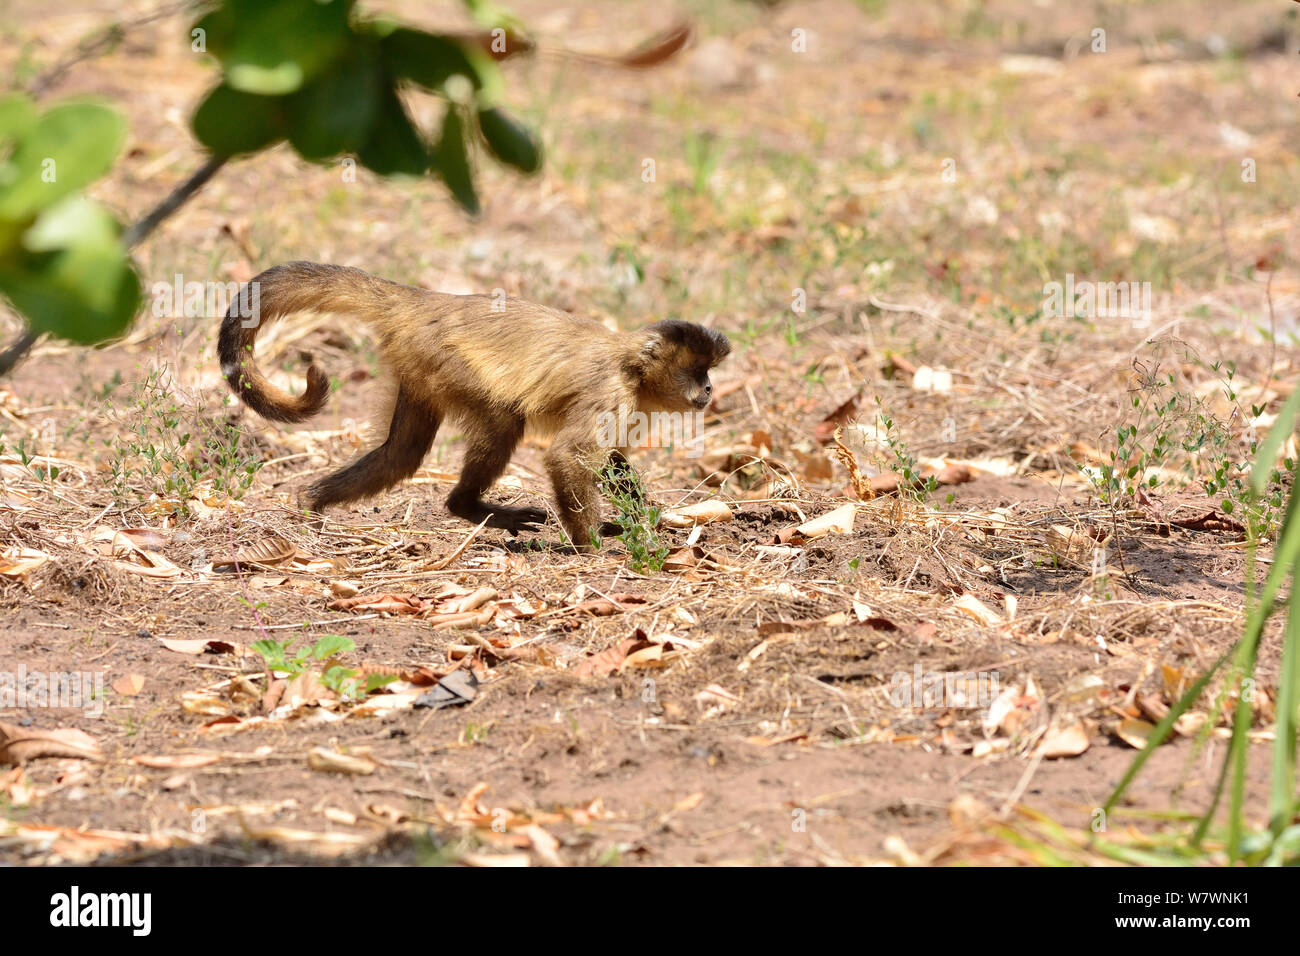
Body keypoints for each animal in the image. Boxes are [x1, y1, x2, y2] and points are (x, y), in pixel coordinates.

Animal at [218, 261, 730, 551]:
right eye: (697, 372)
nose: (709, 390)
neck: (631, 364)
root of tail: (426, 301)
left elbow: (612, 461)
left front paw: (642, 521)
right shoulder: (611, 389)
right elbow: (569, 457)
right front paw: (593, 547)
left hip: (418, 362)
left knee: (401, 454)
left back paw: (315, 501)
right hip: (444, 356)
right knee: (504, 420)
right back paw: (464, 504)